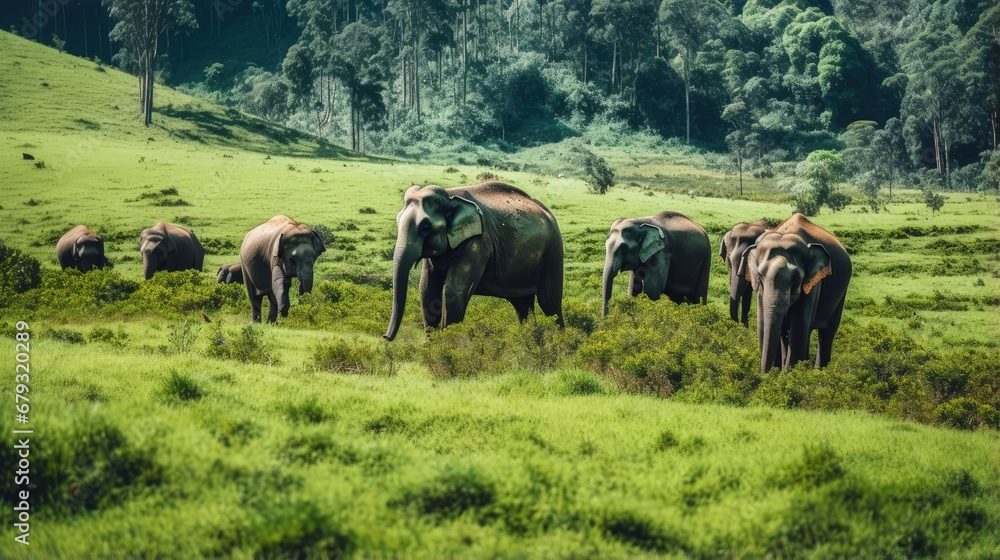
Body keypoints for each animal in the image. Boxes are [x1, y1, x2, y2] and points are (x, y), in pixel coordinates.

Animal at [383, 182, 564, 341]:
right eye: (397, 220)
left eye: (425, 227)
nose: (386, 337)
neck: (451, 197)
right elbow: (427, 291)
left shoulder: (478, 243)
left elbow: (454, 292)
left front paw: (449, 349)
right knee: (523, 305)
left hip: (553, 251)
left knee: (550, 304)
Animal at [738, 213, 852, 373]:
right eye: (760, 275)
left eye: (796, 279)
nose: (764, 374)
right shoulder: (760, 291)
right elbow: (763, 326)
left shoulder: (813, 286)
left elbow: (799, 331)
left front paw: (788, 375)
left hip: (841, 294)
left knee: (827, 334)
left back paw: (819, 373)